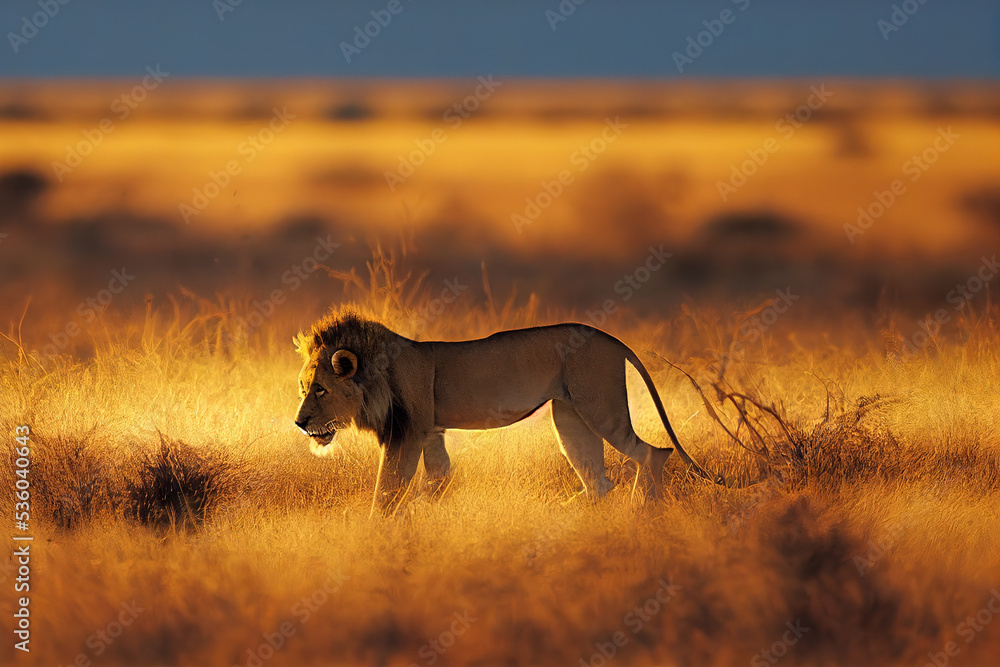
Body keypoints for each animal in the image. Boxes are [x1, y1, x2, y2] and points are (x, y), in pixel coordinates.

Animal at [293, 311, 722, 512]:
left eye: (320, 389)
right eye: (302, 387)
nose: (298, 422)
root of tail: (612, 339)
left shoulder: (406, 433)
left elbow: (385, 491)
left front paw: (377, 529)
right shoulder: (429, 431)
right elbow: (439, 477)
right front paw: (420, 510)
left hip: (600, 406)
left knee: (653, 452)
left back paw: (643, 509)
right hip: (569, 414)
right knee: (598, 481)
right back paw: (561, 516)